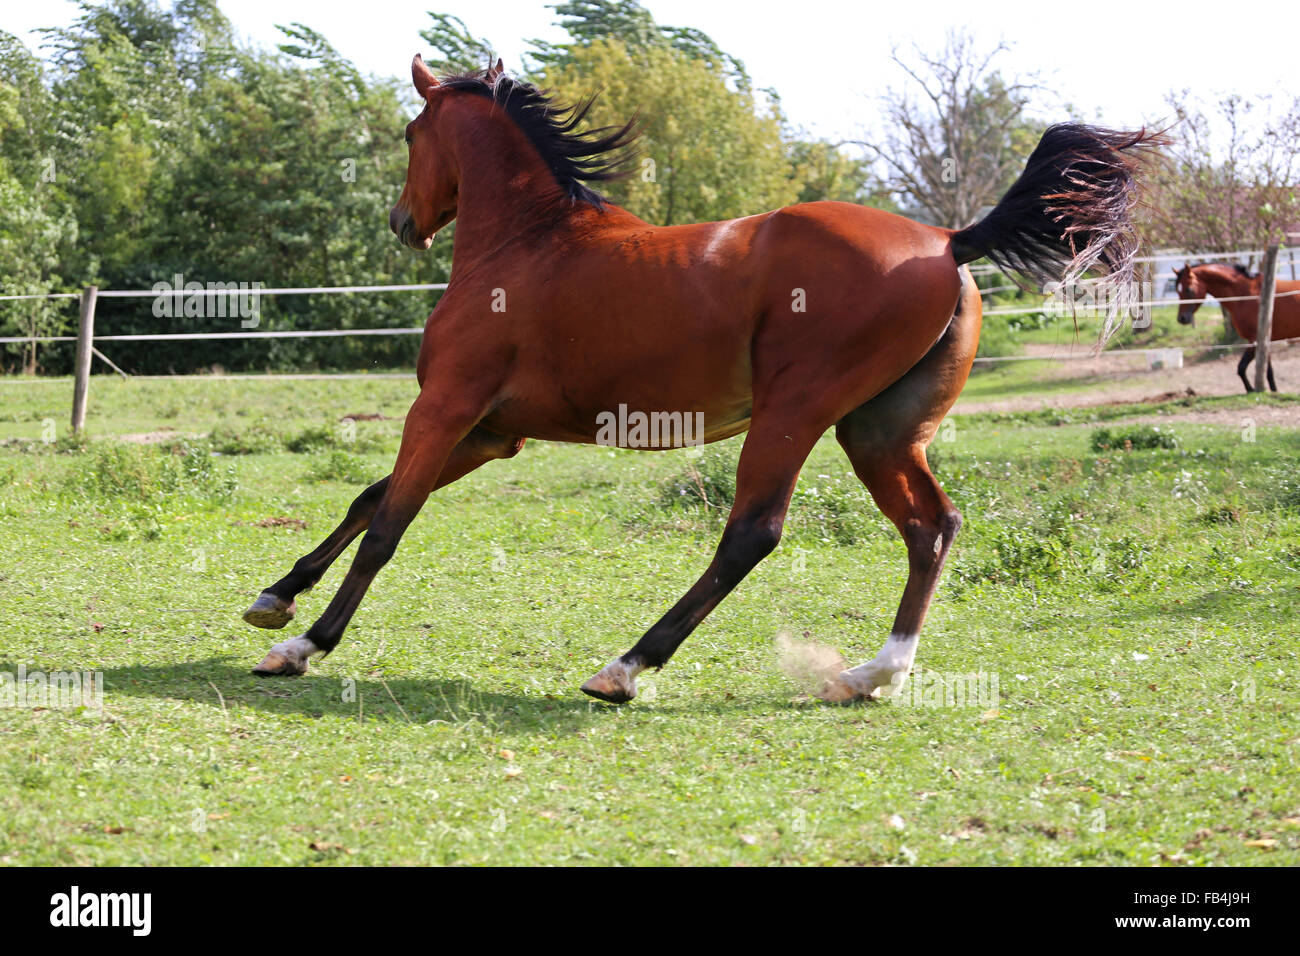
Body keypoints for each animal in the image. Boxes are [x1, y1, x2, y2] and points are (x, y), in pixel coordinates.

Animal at [242, 55, 1163, 704]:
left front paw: (301, 646)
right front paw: (273, 598)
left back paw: (625, 668)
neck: (529, 244)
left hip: (795, 412)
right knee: (931, 526)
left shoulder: (445, 408)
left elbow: (388, 525)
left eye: (409, 133)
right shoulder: (492, 431)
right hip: (878, 431)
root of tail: (948, 241)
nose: (404, 223)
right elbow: (368, 499)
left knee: (754, 532)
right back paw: (871, 675)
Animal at [1173, 261, 1300, 392]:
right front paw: (1251, 390)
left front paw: (1268, 390)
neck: (1245, 295)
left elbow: (1266, 372)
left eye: (1188, 289)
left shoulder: (1258, 340)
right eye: (1177, 290)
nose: (1181, 318)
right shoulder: (1255, 341)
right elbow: (1241, 368)